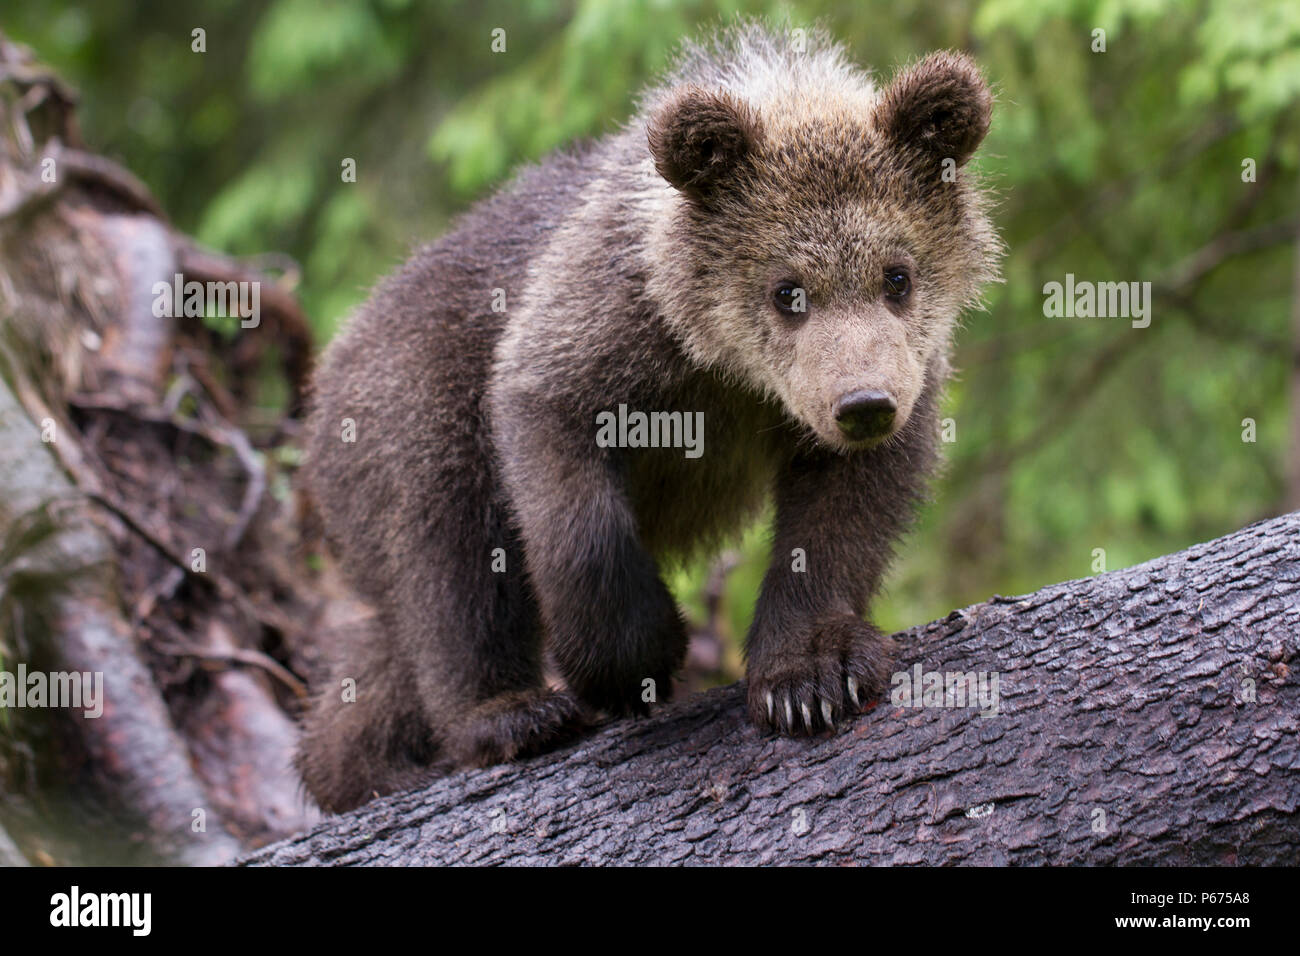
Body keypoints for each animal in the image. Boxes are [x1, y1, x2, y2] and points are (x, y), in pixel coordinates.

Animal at [296, 22, 1001, 813]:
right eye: (787, 289)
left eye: (897, 276)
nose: (863, 405)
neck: (729, 371)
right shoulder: (602, 323)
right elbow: (562, 472)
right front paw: (632, 659)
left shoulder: (899, 375)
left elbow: (842, 512)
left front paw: (809, 675)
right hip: (406, 399)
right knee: (445, 557)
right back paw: (507, 714)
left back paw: (360, 760)